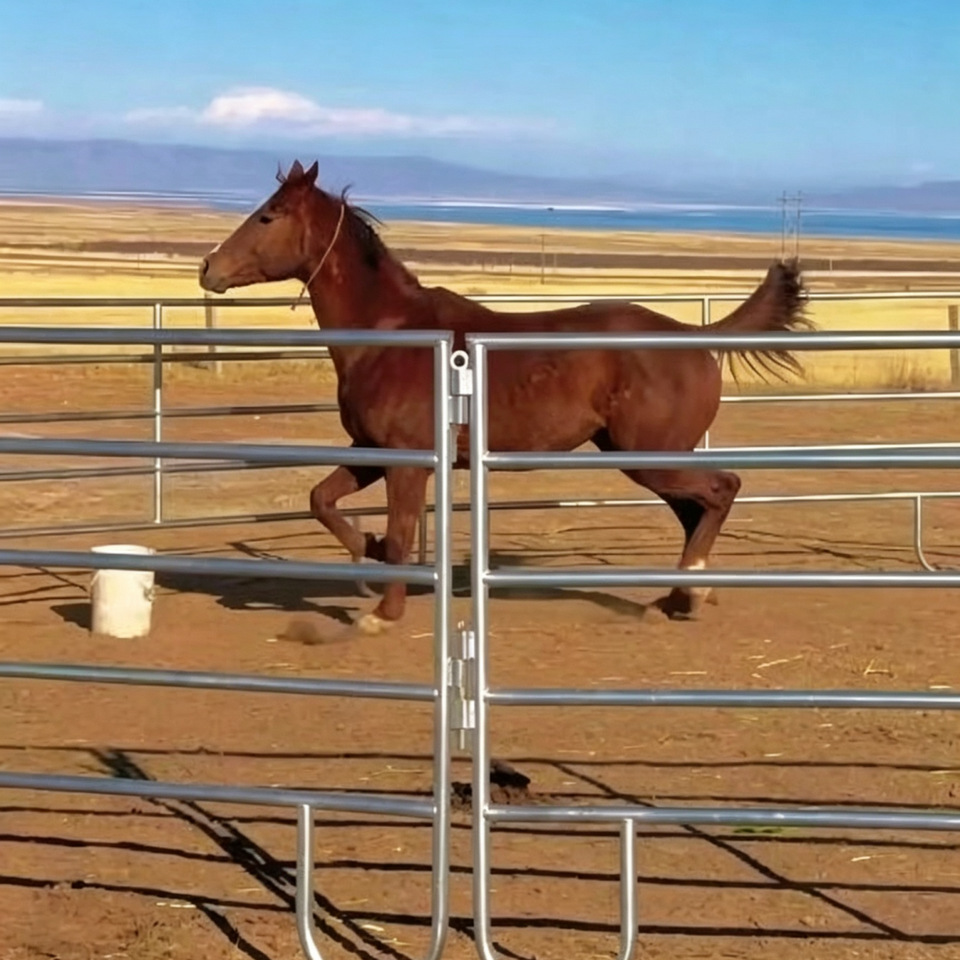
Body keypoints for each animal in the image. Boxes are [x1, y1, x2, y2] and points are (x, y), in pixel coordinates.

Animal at [199, 159, 812, 635]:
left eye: (268, 215)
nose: (208, 268)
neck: (390, 333)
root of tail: (692, 336)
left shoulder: (408, 463)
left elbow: (399, 534)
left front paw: (383, 611)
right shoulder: (373, 452)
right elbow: (322, 501)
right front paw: (364, 550)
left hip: (653, 456)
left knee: (722, 489)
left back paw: (688, 592)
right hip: (640, 456)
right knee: (696, 509)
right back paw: (678, 598)